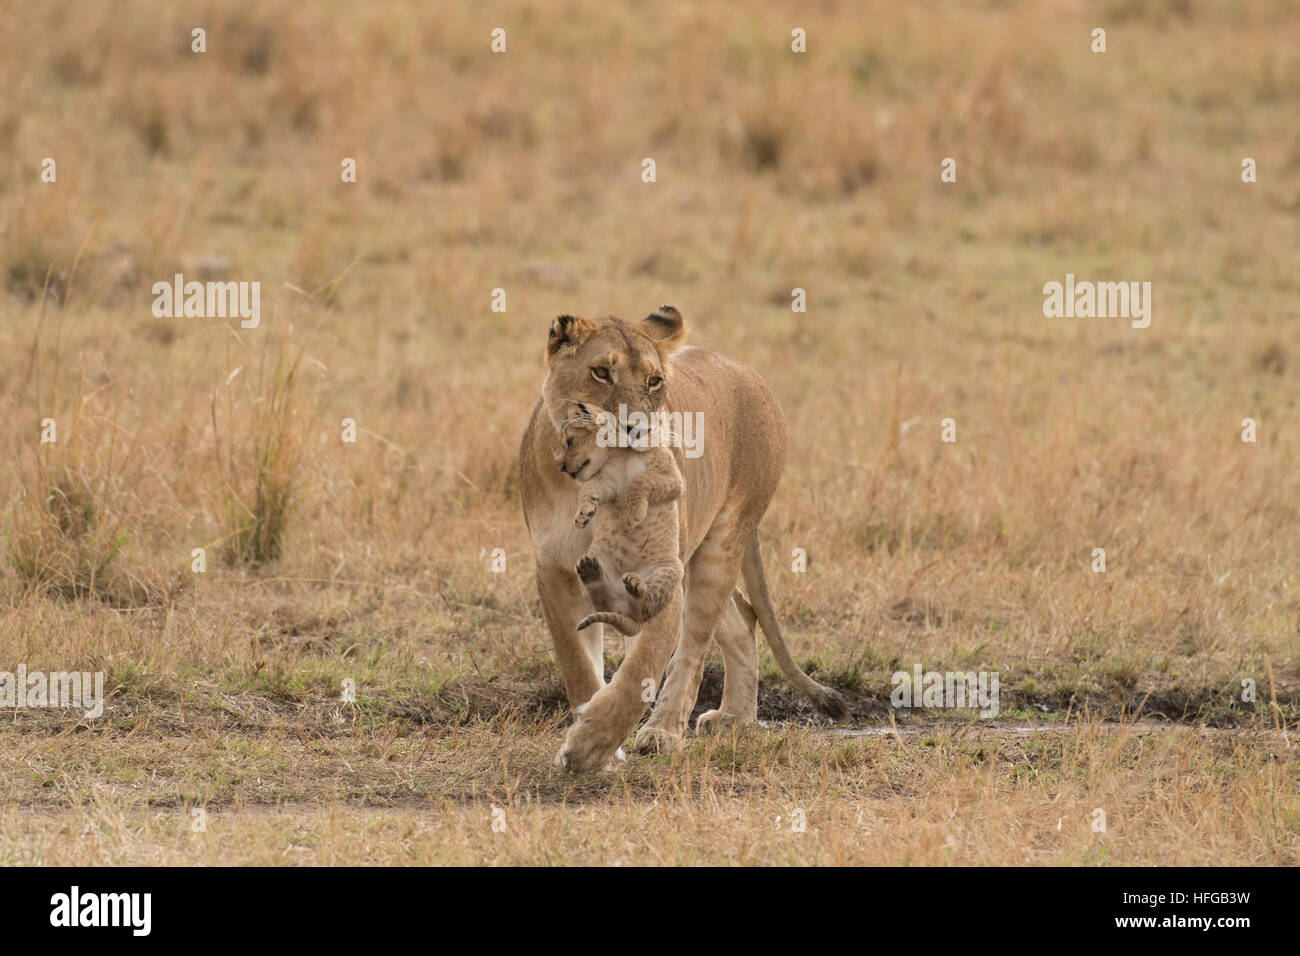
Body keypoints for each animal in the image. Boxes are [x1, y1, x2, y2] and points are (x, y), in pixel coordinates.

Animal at [519, 305, 846, 773]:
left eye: (654, 381)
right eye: (601, 372)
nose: (636, 428)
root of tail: (748, 371)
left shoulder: (661, 570)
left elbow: (644, 667)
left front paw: (592, 745)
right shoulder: (554, 569)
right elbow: (578, 665)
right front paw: (598, 746)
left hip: (719, 546)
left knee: (695, 646)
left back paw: (664, 732)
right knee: (742, 618)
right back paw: (735, 719)